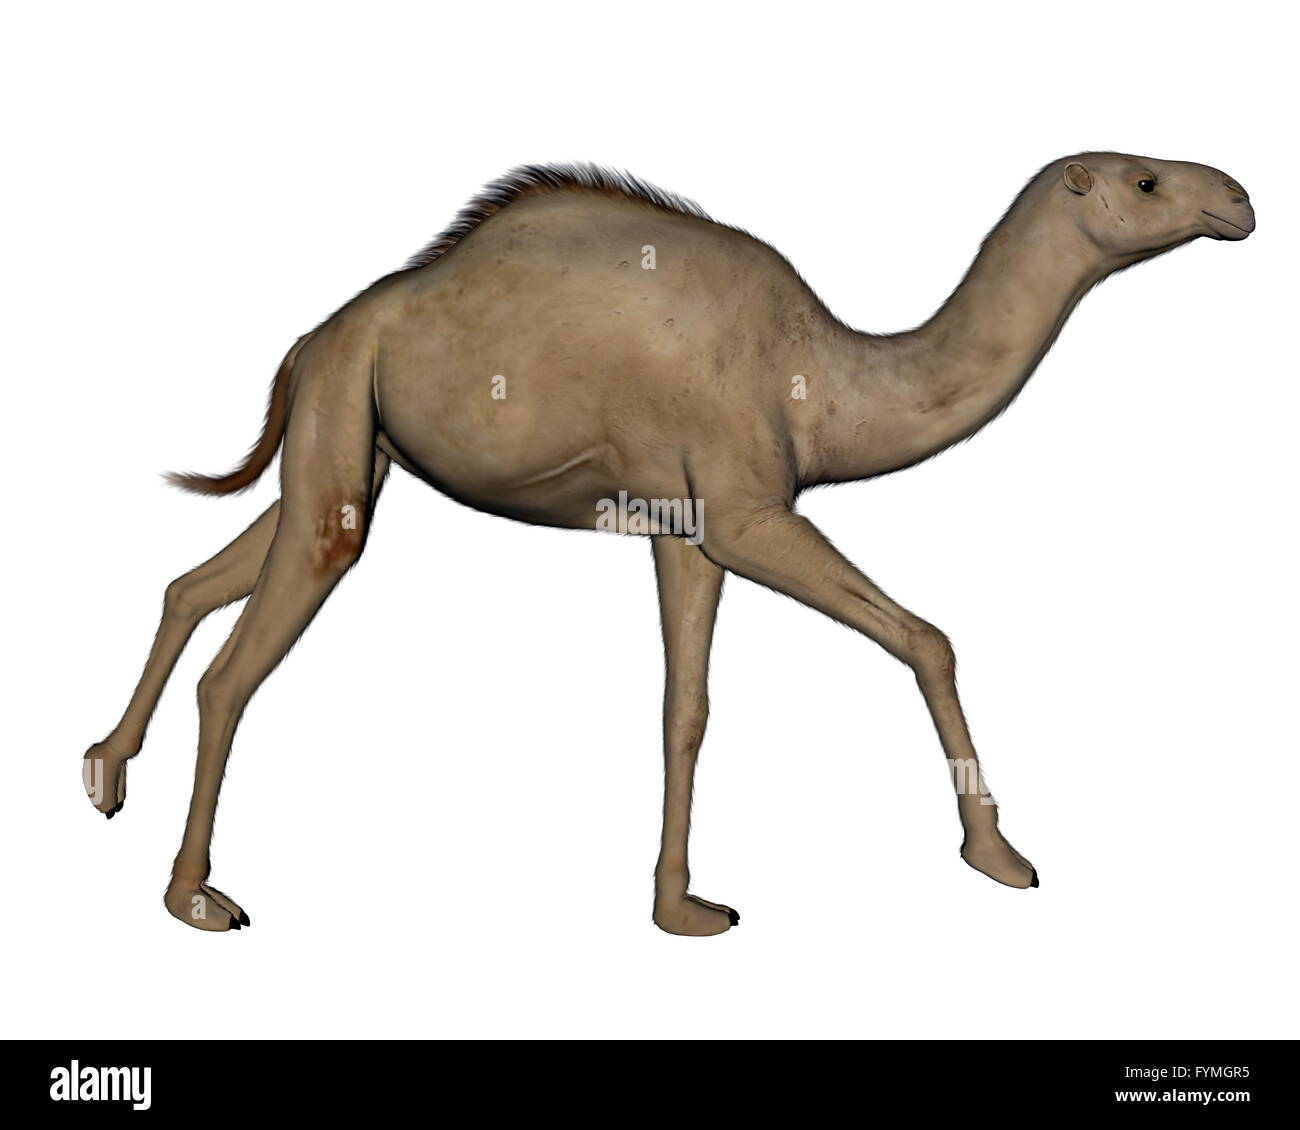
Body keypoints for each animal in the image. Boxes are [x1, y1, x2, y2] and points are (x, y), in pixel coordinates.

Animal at [83, 154, 1254, 934]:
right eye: (1146, 181)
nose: (1238, 197)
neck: (824, 377)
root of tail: (313, 338)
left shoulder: (685, 528)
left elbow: (683, 708)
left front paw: (681, 904)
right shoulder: (746, 511)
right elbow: (927, 636)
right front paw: (1001, 855)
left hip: (353, 448)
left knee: (199, 579)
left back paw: (104, 773)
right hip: (339, 417)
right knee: (236, 668)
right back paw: (195, 896)